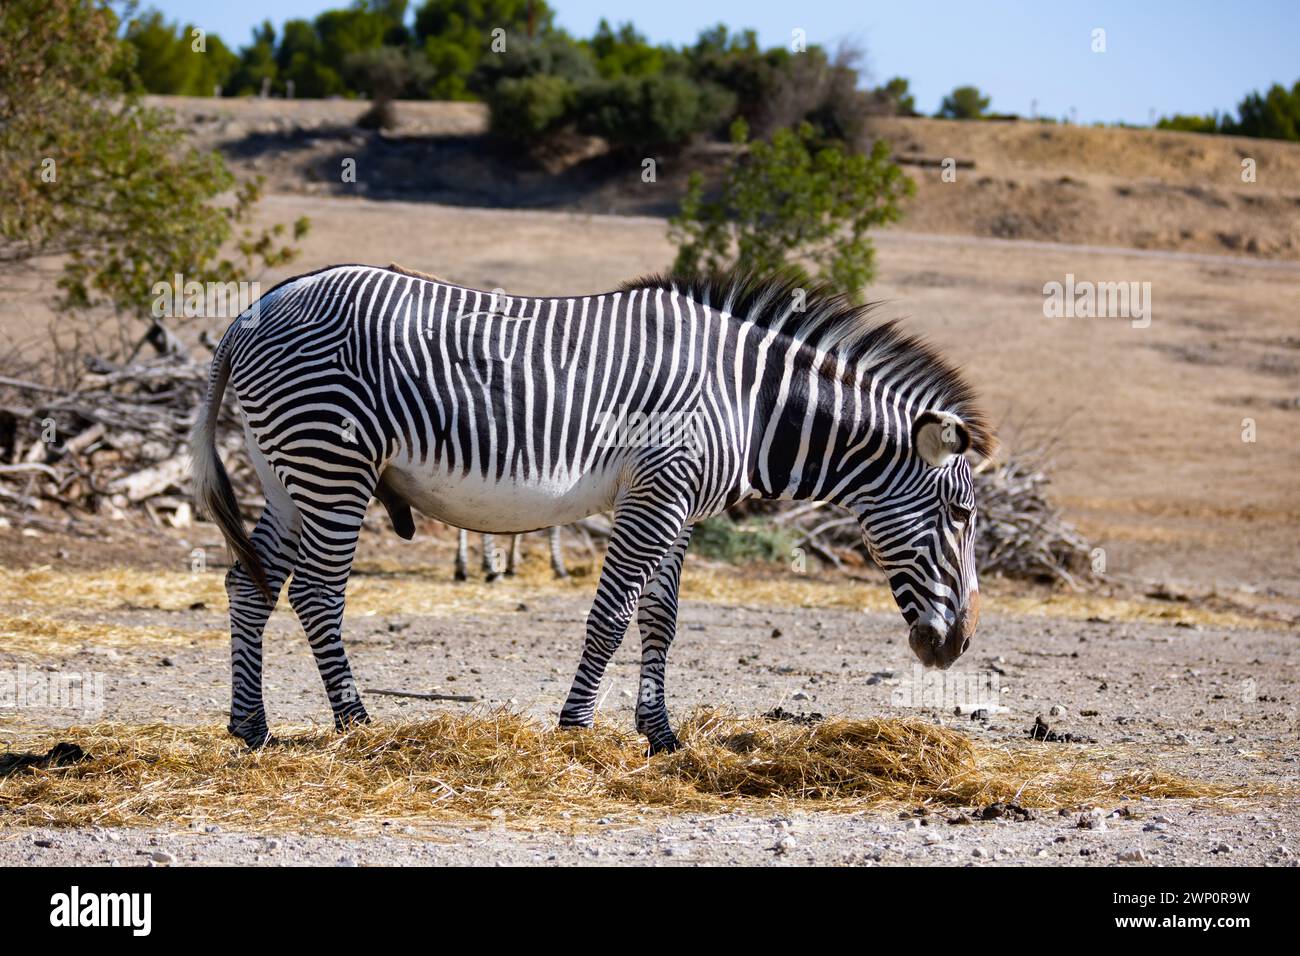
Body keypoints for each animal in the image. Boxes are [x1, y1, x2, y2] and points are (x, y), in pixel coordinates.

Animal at [192, 263, 993, 753]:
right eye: (961, 516)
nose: (955, 647)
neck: (749, 402)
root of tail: (256, 309)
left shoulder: (678, 506)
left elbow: (661, 621)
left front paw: (662, 736)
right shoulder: (658, 492)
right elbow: (610, 616)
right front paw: (576, 728)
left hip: (286, 472)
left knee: (249, 585)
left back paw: (250, 726)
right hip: (333, 462)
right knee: (318, 594)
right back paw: (356, 723)